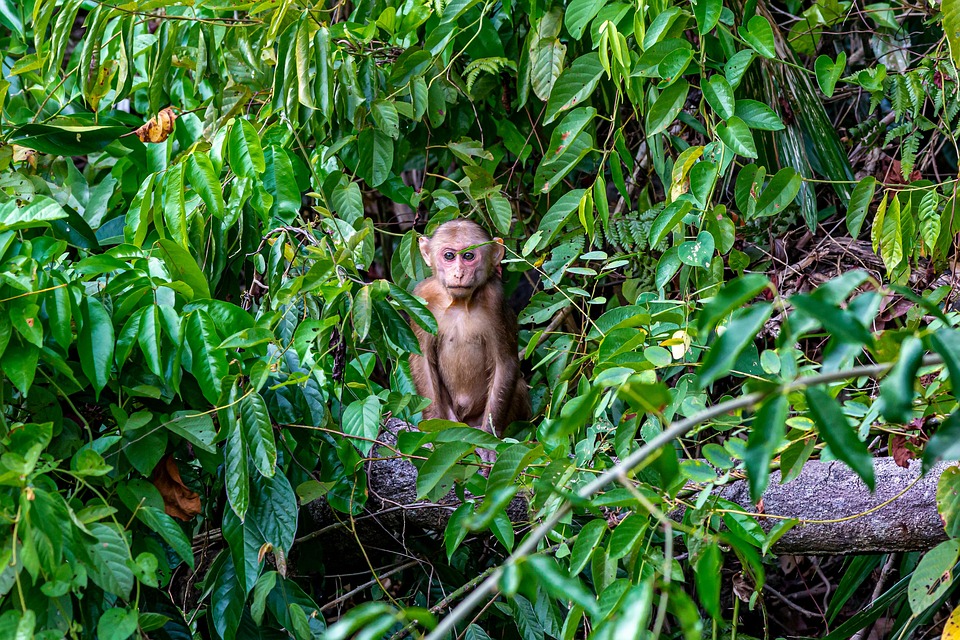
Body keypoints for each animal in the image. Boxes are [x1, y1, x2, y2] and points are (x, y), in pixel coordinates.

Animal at [408, 220, 531, 447]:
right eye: (449, 256)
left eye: (468, 256)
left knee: (518, 385)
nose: (458, 273)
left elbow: (504, 363)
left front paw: (490, 440)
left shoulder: (494, 299)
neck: (459, 302)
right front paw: (431, 427)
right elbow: (423, 360)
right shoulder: (422, 297)